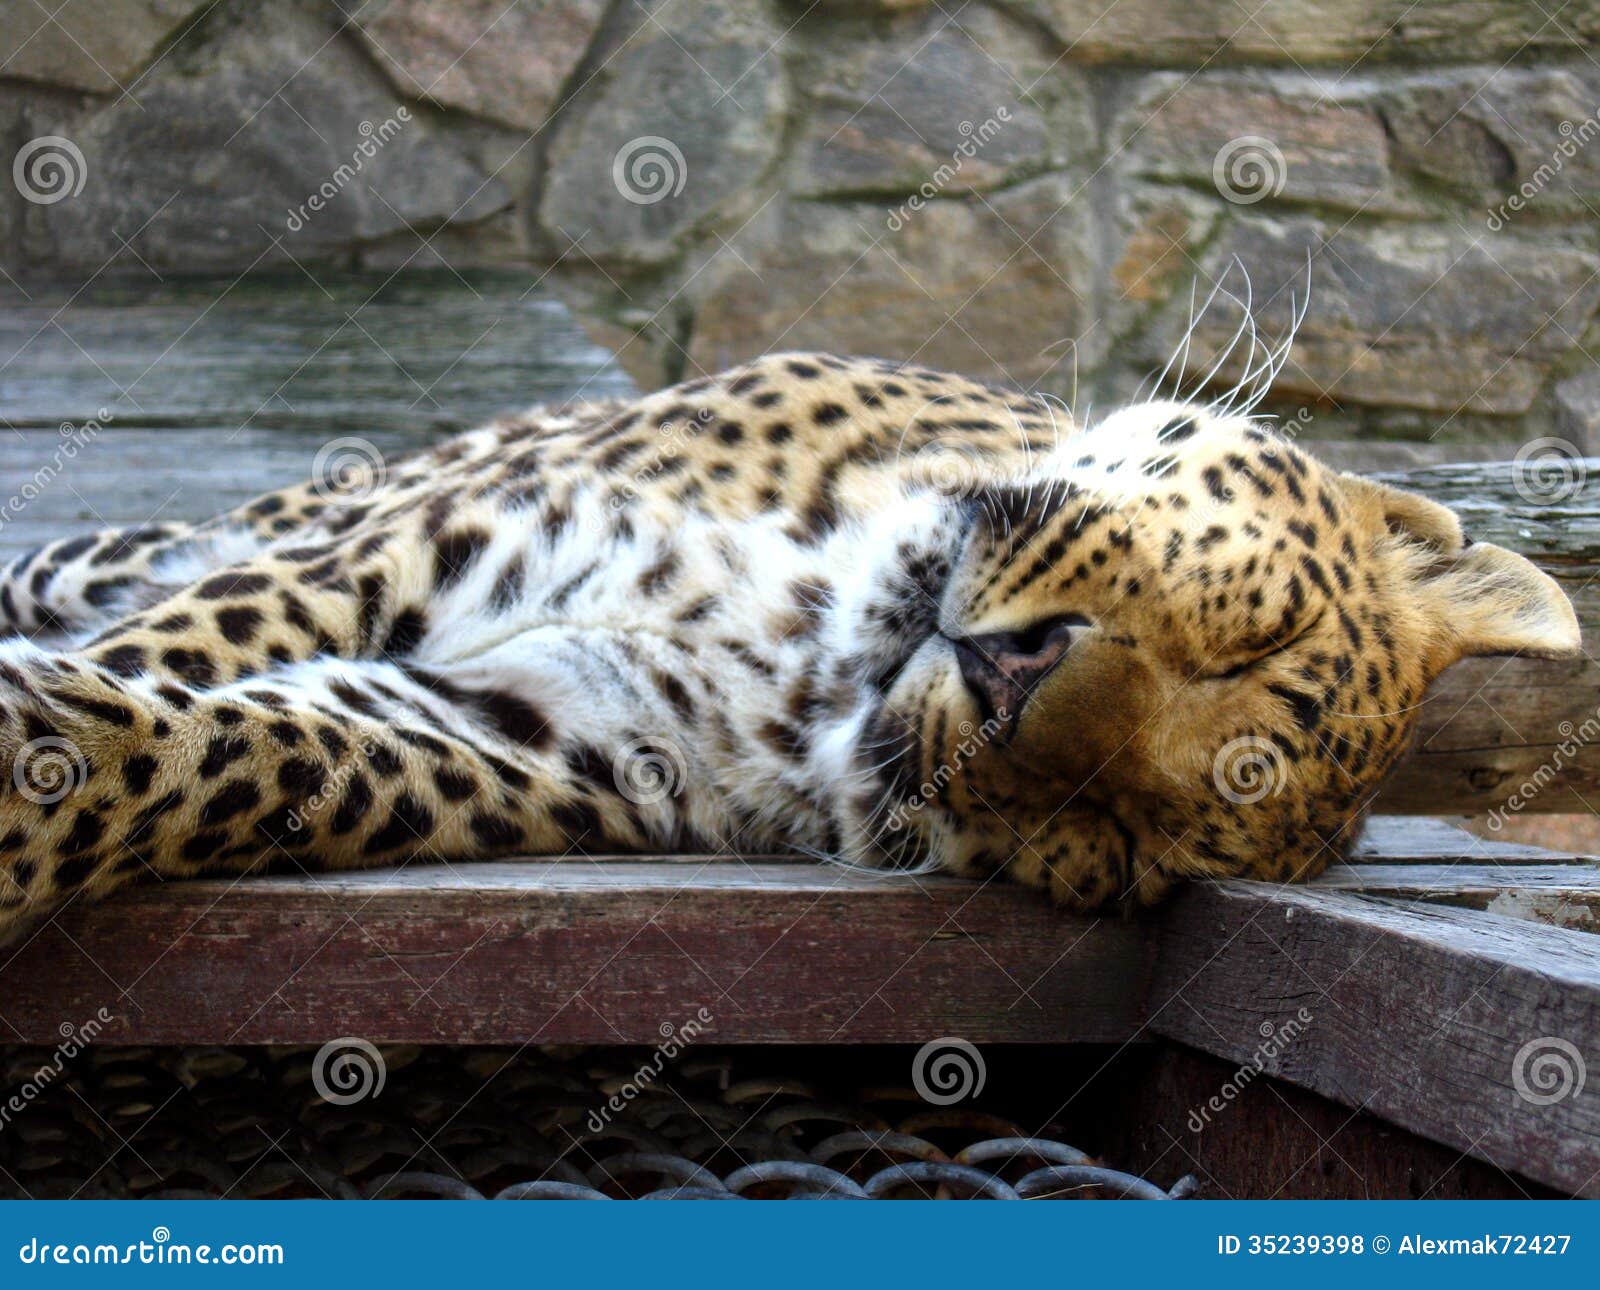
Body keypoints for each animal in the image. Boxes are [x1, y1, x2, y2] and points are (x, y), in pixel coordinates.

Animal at [0, 351, 1579, 936]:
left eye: (1111, 843)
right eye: (1264, 630)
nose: (1005, 680)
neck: (804, 631)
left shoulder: (539, 732)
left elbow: (232, 756)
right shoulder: (413, 543)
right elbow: (193, 639)